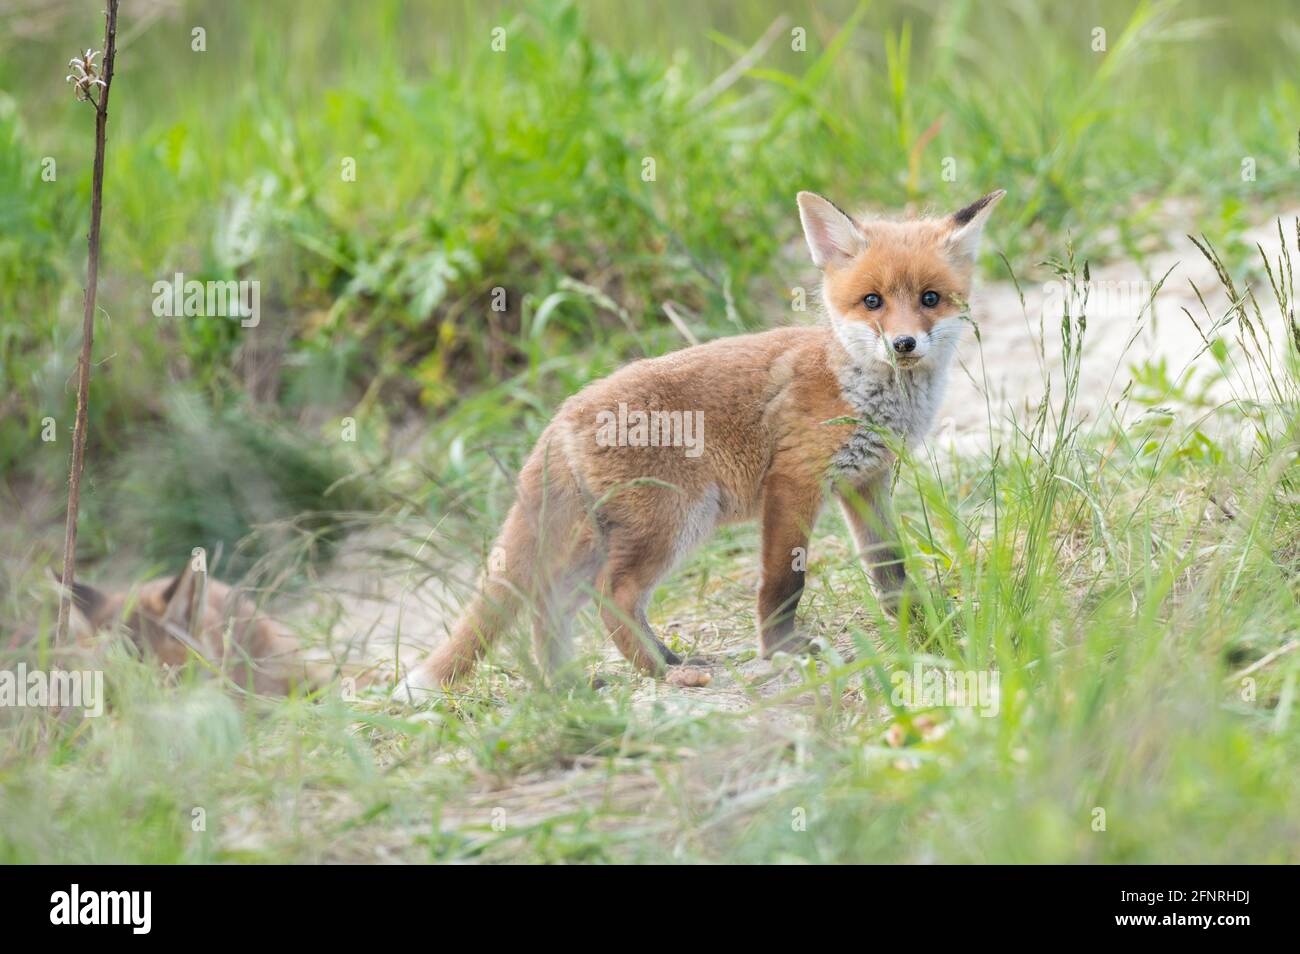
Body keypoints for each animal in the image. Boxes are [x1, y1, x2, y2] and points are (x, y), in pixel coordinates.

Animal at [396, 188, 1005, 701]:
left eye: (930, 298)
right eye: (872, 301)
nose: (903, 344)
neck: (859, 388)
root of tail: (560, 415)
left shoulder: (864, 481)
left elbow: (889, 570)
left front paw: (921, 627)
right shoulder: (795, 479)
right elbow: (784, 580)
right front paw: (780, 650)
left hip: (605, 537)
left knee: (552, 604)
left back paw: (577, 681)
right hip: (673, 521)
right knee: (611, 598)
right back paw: (663, 673)